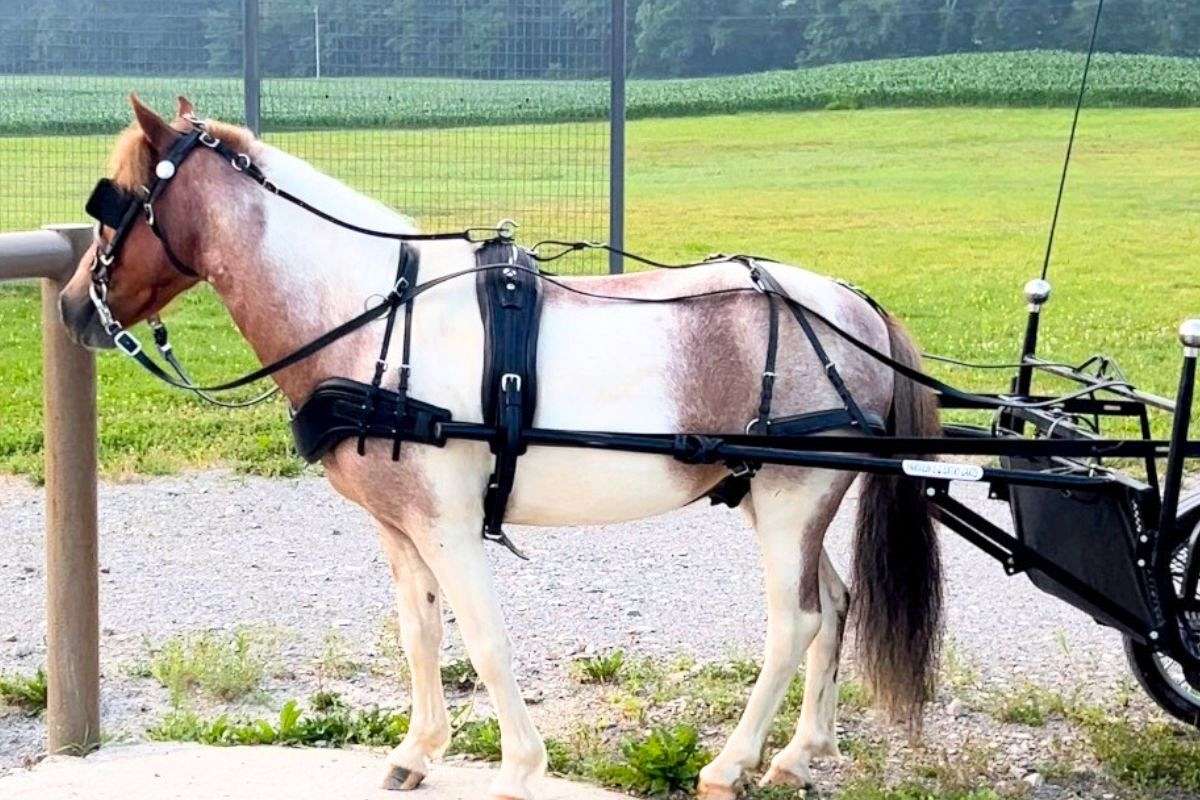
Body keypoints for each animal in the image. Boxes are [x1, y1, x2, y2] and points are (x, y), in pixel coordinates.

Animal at [58, 96, 942, 800]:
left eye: (117, 202)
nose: (71, 308)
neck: (376, 316)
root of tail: (853, 308)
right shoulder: (399, 524)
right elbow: (420, 632)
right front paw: (417, 752)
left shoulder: (447, 523)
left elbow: (484, 638)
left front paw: (519, 768)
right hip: (782, 500)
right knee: (833, 606)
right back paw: (800, 753)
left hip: (791, 500)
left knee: (794, 622)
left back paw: (731, 765)